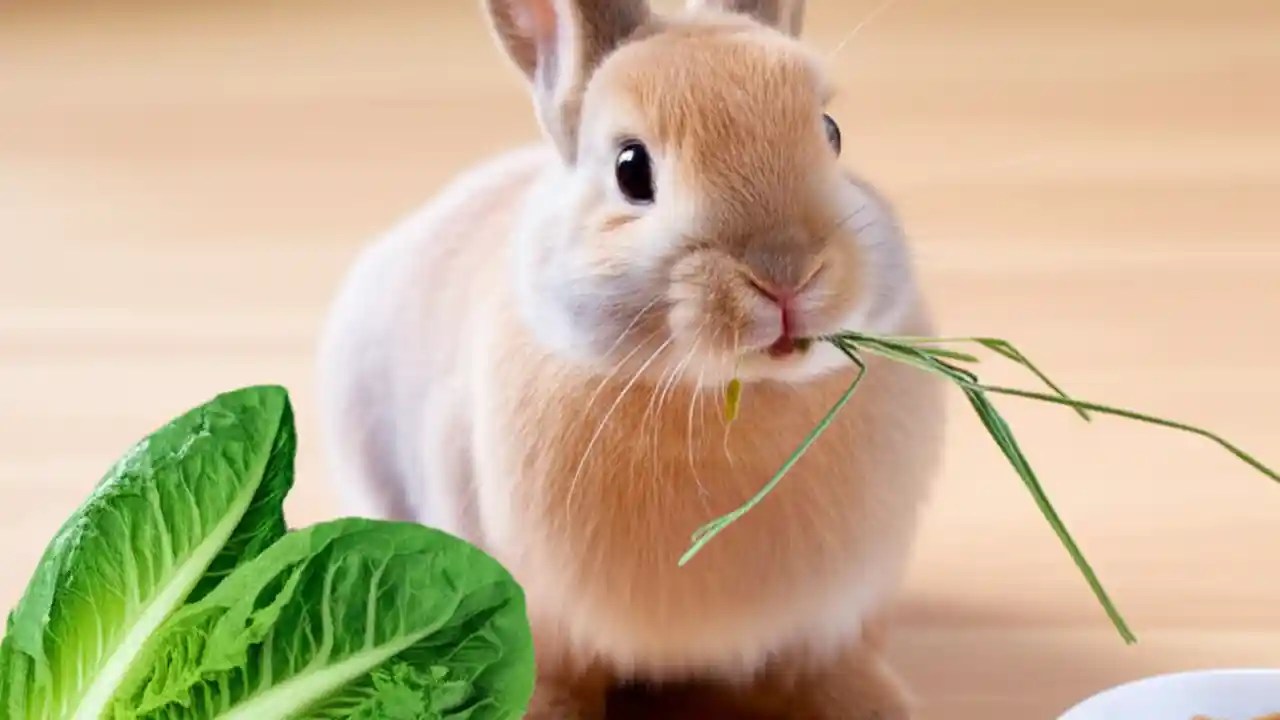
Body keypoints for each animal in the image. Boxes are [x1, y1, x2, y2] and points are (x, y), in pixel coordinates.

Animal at [317, 0, 946, 717]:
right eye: (631, 169)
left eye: (832, 132)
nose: (785, 273)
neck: (725, 392)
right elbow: (553, 675)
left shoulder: (834, 615)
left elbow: (821, 668)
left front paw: (875, 703)